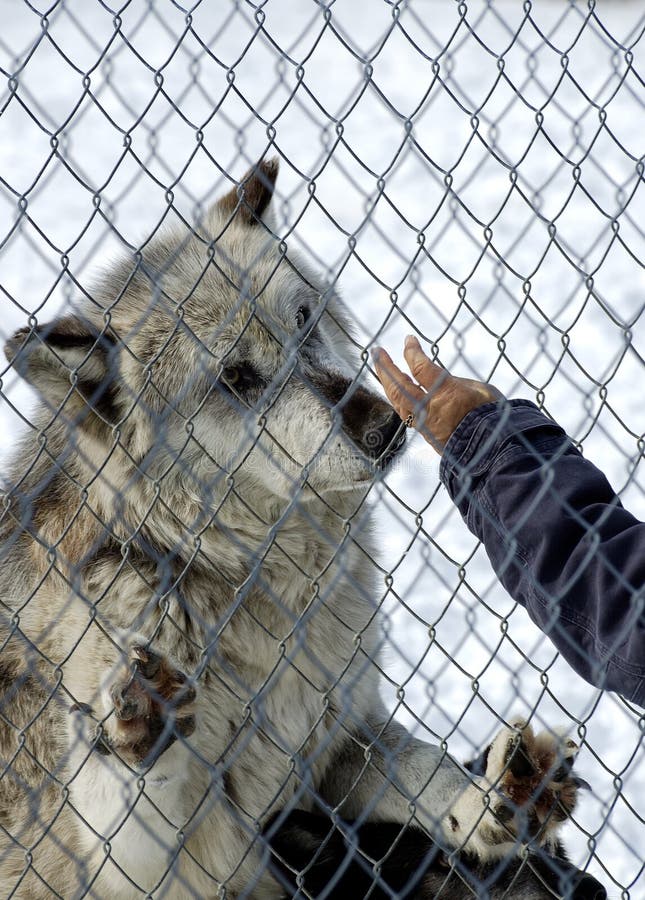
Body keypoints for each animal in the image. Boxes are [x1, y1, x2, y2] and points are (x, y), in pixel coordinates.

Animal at [0, 159, 605, 899]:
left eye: (303, 320)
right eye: (236, 377)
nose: (386, 426)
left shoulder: (336, 751)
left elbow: (427, 770)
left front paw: (495, 800)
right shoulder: (144, 867)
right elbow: (131, 797)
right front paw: (141, 726)